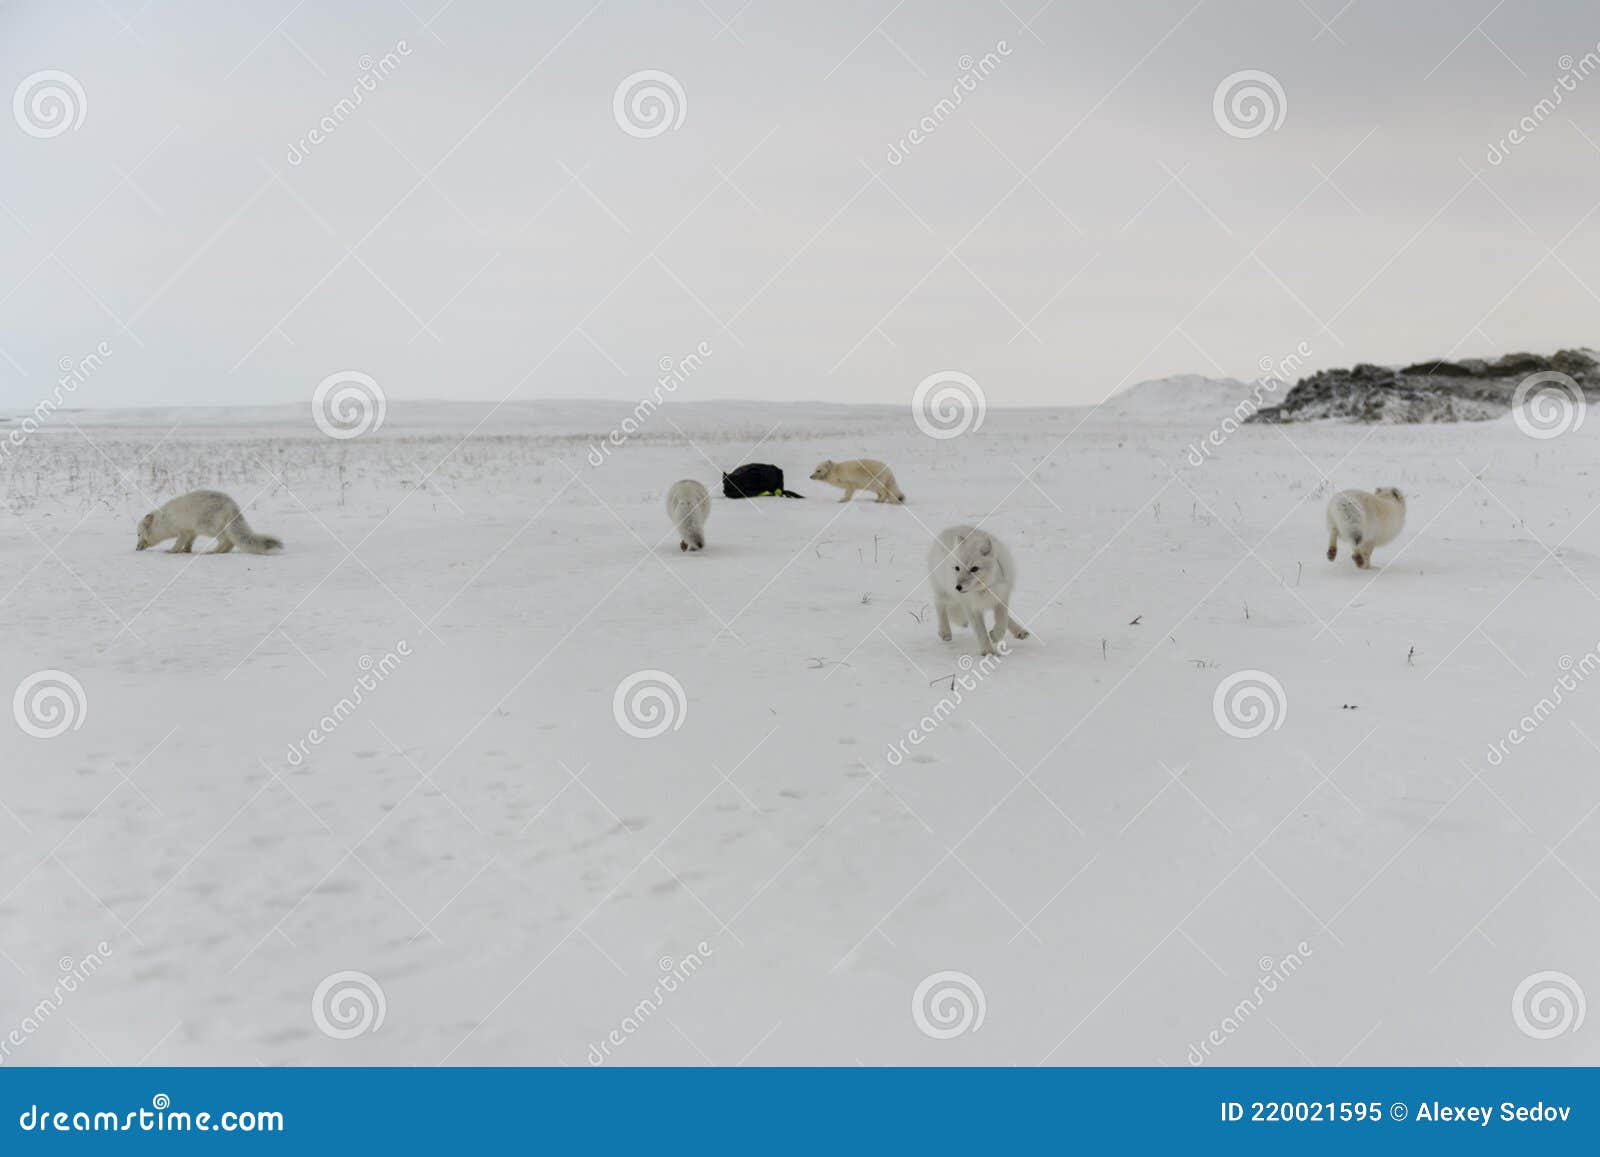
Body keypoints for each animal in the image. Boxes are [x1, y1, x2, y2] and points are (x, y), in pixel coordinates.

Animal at [136, 490, 283, 555]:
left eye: (138, 534)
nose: (136, 548)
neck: (162, 522)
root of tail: (233, 507)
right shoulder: (192, 532)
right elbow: (189, 543)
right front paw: (186, 551)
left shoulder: (183, 531)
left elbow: (178, 543)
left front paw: (172, 551)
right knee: (230, 543)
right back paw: (220, 552)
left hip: (211, 529)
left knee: (227, 541)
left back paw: (214, 552)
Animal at [928, 525, 1029, 657]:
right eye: (957, 568)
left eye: (974, 569)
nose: (958, 587)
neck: (985, 589)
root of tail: (949, 529)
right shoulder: (971, 608)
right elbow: (981, 631)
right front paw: (988, 651)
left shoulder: (1001, 598)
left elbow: (1002, 622)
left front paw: (995, 635)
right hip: (945, 593)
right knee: (939, 604)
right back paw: (945, 631)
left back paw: (1019, 631)